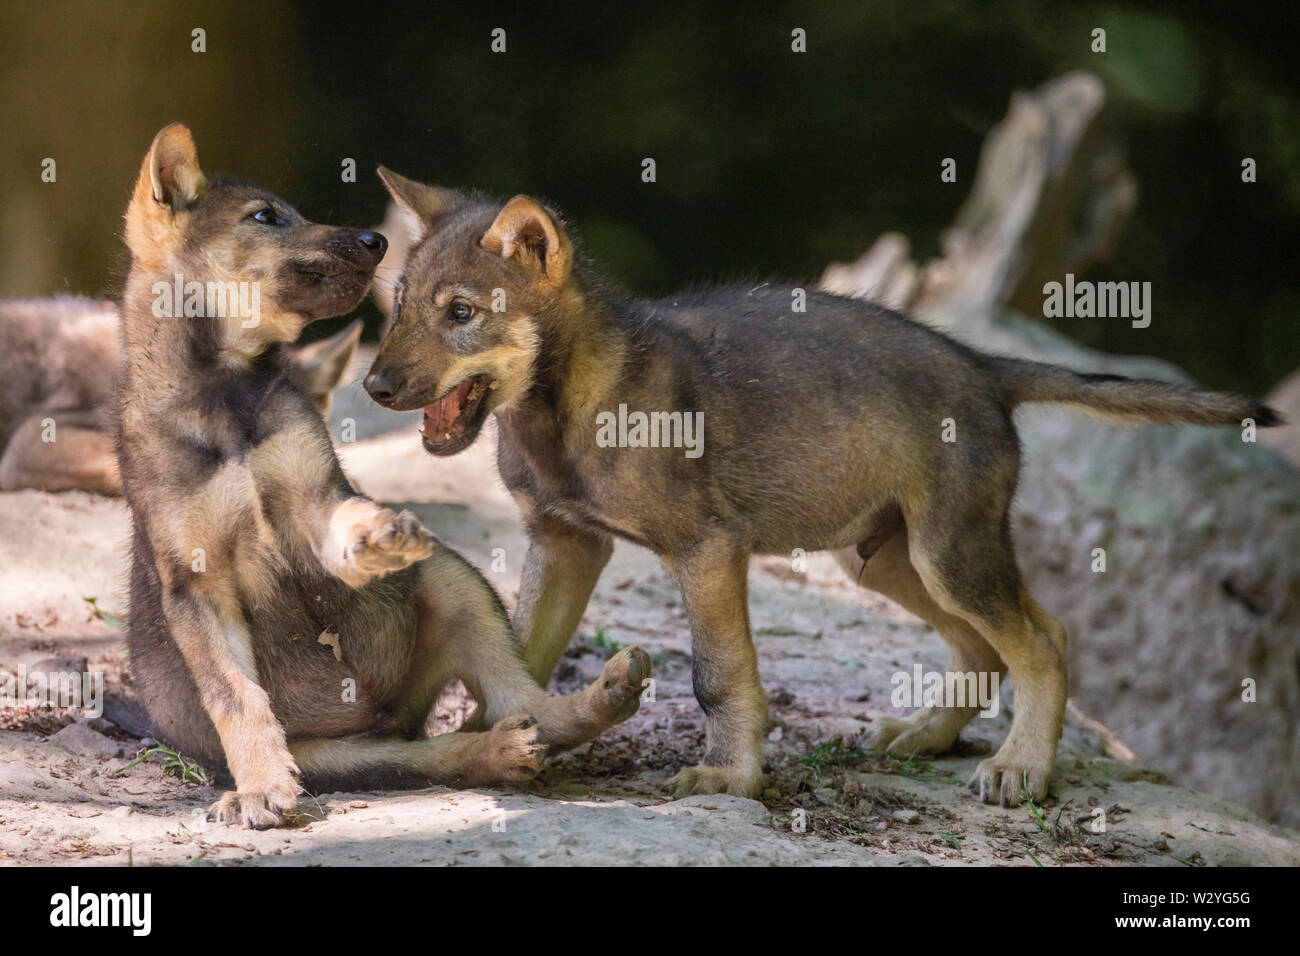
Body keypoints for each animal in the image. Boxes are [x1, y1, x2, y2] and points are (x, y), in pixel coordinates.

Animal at [118, 125, 650, 828]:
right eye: (265, 217)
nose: (377, 240)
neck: (228, 401)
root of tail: (388, 715)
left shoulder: (315, 498)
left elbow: (346, 519)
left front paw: (376, 539)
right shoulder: (196, 583)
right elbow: (235, 696)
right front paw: (259, 787)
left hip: (454, 582)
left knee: (529, 705)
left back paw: (601, 696)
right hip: (356, 759)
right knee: (441, 753)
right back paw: (498, 753)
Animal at [363, 169, 1281, 807]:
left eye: (460, 313)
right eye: (399, 304)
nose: (372, 385)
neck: (565, 417)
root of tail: (983, 365)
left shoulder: (705, 550)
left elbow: (719, 677)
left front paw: (729, 780)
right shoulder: (566, 542)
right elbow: (515, 656)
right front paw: (486, 748)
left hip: (946, 557)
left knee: (1042, 640)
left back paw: (1019, 769)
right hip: (883, 561)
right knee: (989, 647)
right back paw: (926, 736)